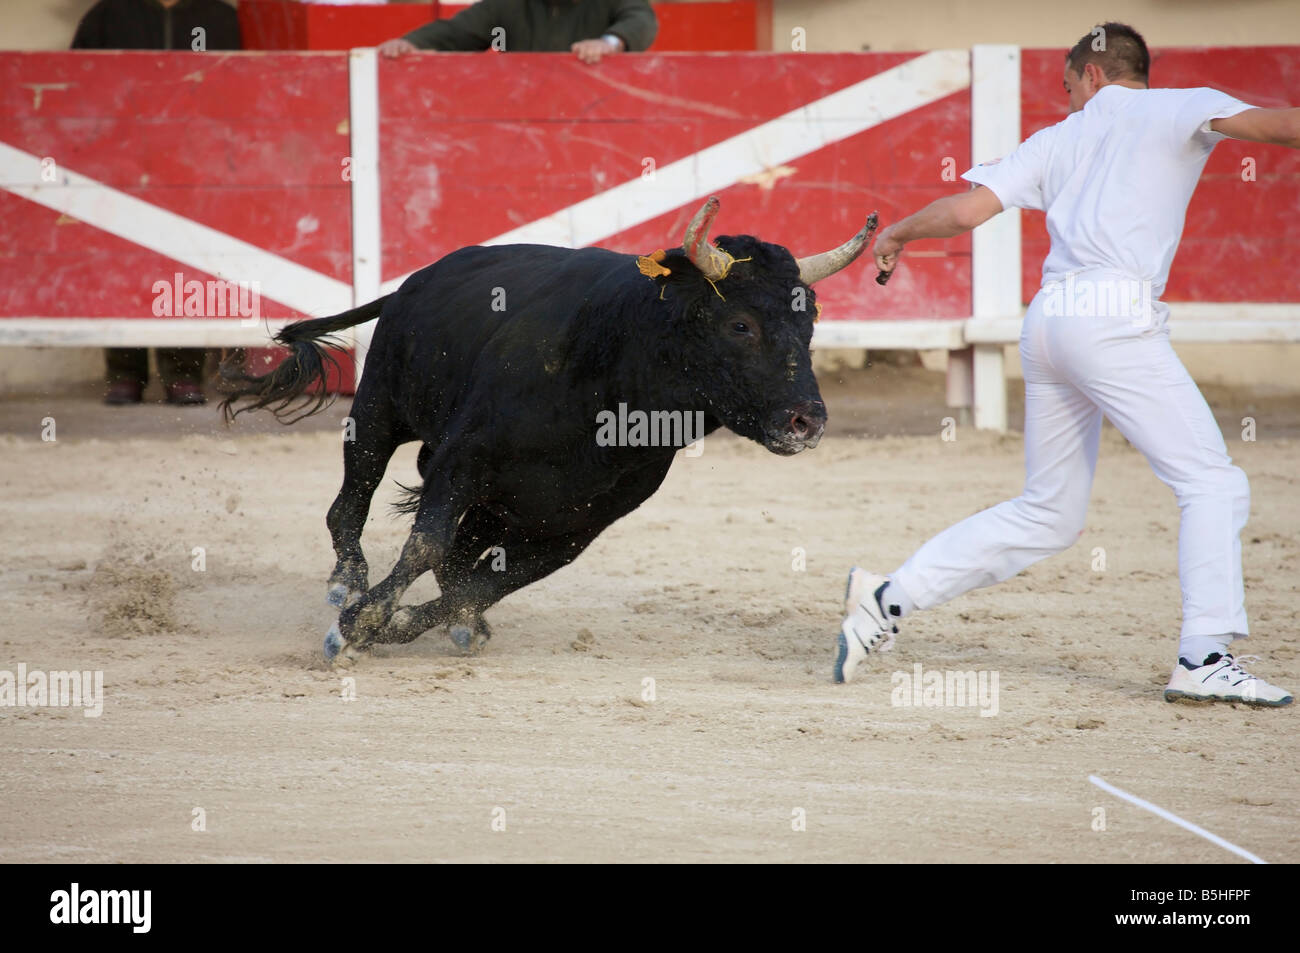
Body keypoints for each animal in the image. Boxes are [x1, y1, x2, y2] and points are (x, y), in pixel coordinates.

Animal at [220, 197, 878, 662]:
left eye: (810, 322)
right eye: (740, 325)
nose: (807, 421)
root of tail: (422, 276)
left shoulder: (582, 521)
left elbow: (482, 584)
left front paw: (413, 625)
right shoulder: (462, 461)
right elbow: (429, 545)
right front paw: (355, 626)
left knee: (459, 556)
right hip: (380, 405)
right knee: (351, 502)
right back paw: (346, 585)